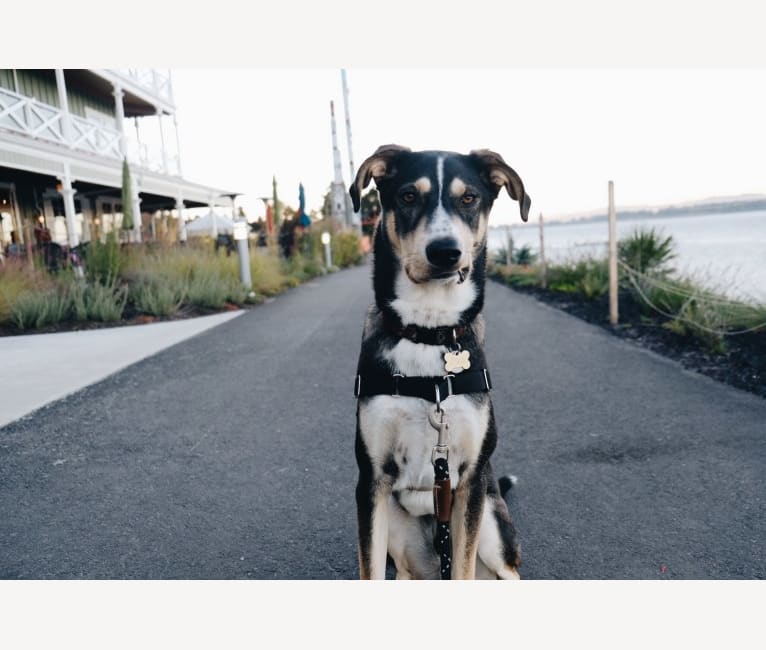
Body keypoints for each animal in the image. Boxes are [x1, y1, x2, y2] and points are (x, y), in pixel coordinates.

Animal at [354, 143, 536, 576]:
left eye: (468, 198)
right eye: (407, 196)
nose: (445, 252)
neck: (428, 330)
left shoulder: (469, 483)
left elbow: (463, 572)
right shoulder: (370, 484)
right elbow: (369, 572)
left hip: (493, 529)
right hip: (400, 536)